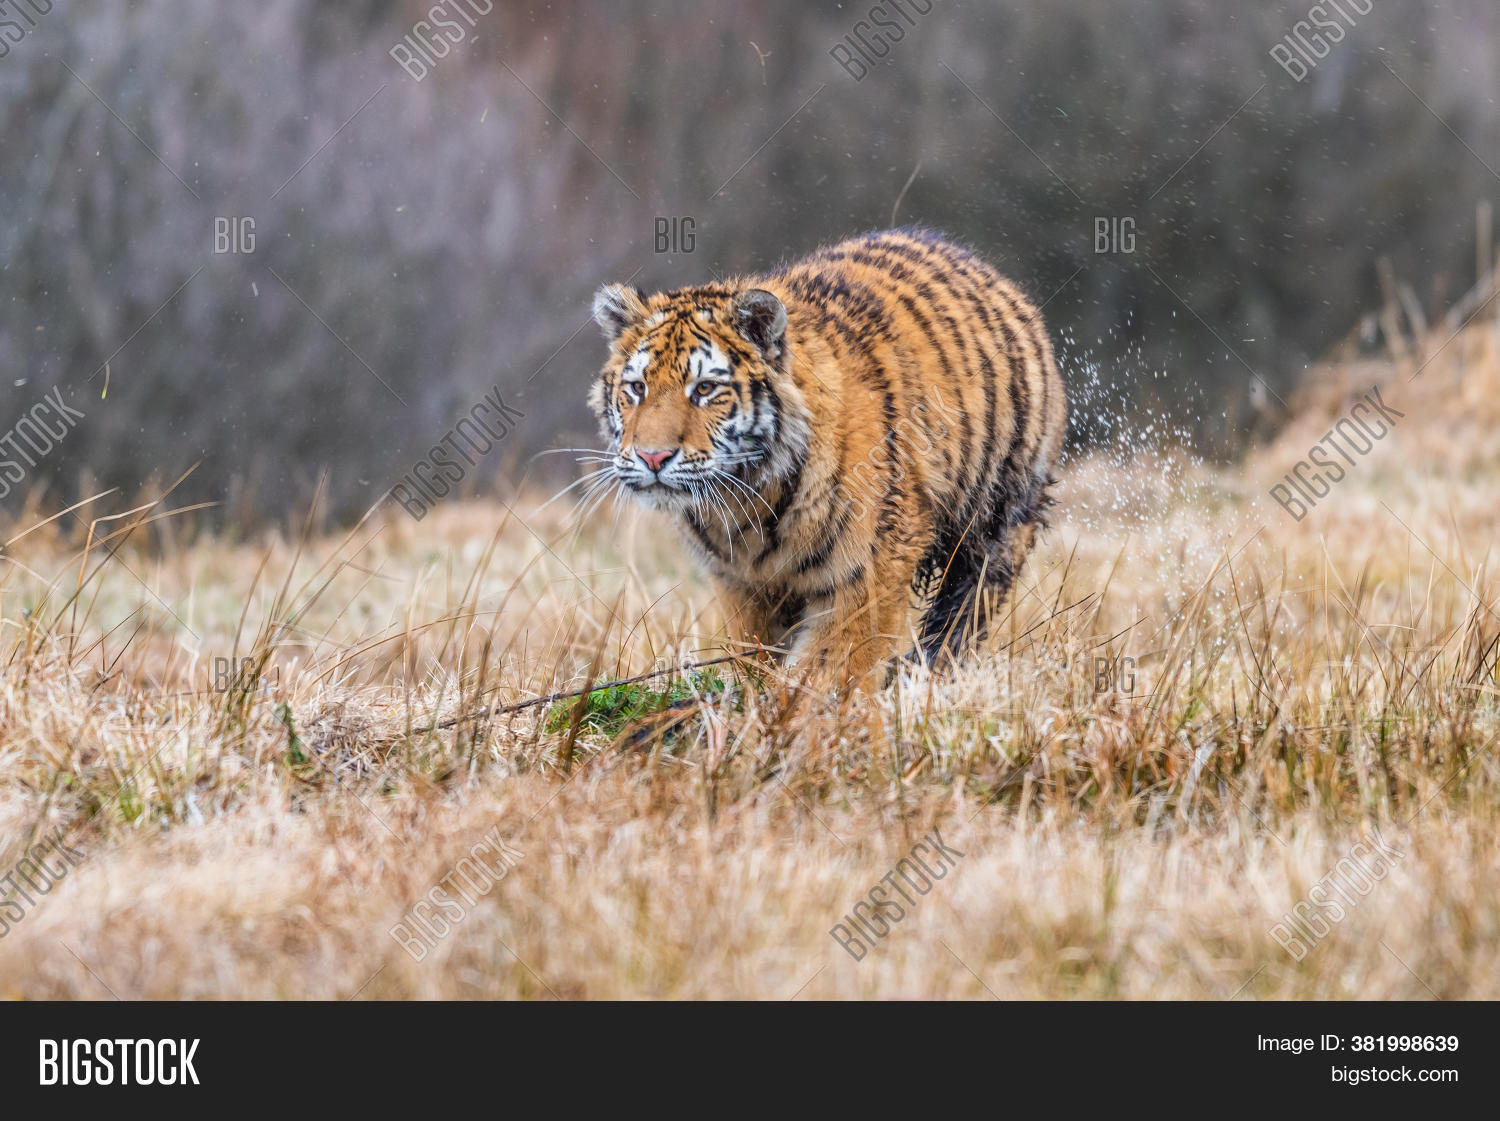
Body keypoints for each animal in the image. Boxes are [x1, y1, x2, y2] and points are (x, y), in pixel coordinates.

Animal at [588, 227, 1066, 687]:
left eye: (705, 389)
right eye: (637, 388)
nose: (653, 457)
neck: (749, 498)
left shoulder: (867, 566)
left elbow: (834, 664)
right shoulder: (740, 581)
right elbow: (755, 652)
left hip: (997, 521)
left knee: (963, 614)